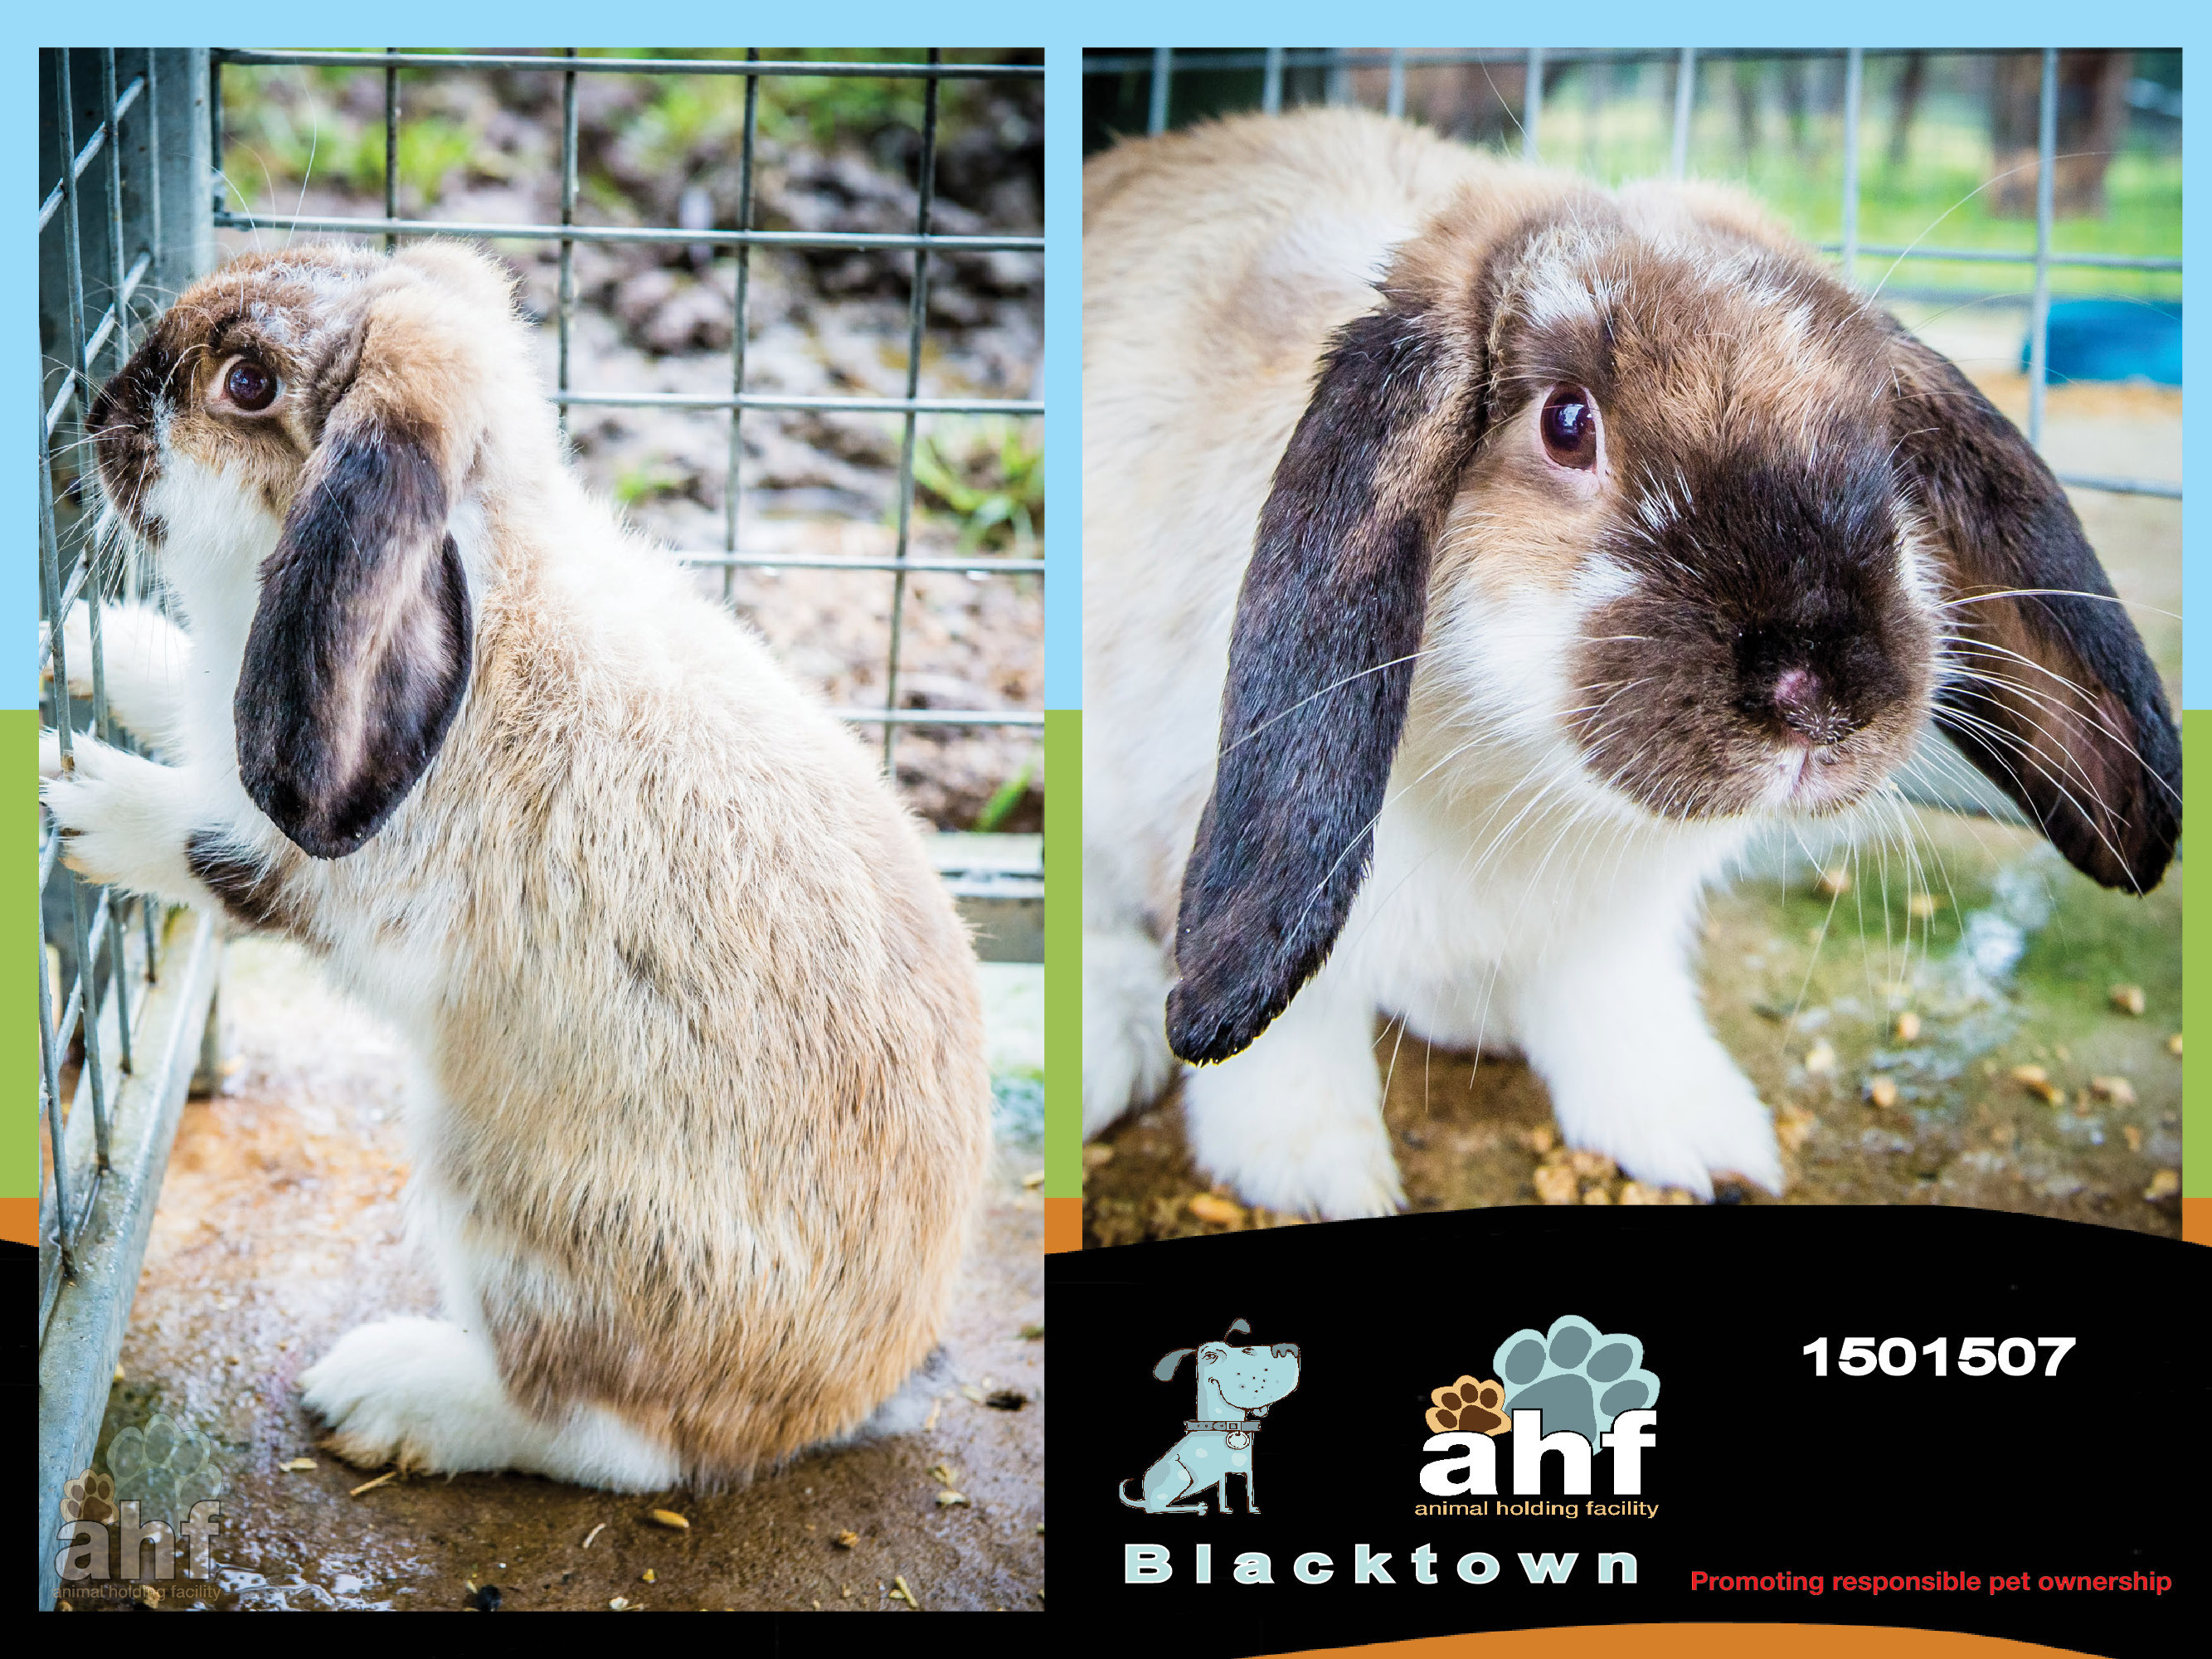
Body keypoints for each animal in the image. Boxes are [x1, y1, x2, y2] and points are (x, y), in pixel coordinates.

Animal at [42, 240, 993, 1488]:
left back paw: (383, 1394)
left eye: (246, 384)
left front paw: (73, 793)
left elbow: (211, 845)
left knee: (607, 1436)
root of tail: (846, 1396)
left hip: (521, 1219)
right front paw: (86, 641)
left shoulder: (320, 867)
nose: (99, 412)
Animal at [1081, 109, 2179, 1220]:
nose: (1821, 696)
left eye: (1890, 451)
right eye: (1568, 422)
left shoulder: (1616, 933)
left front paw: (1702, 1141)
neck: (1520, 779)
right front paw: (1315, 1172)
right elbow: (1295, 1033)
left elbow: (1615, 1012)